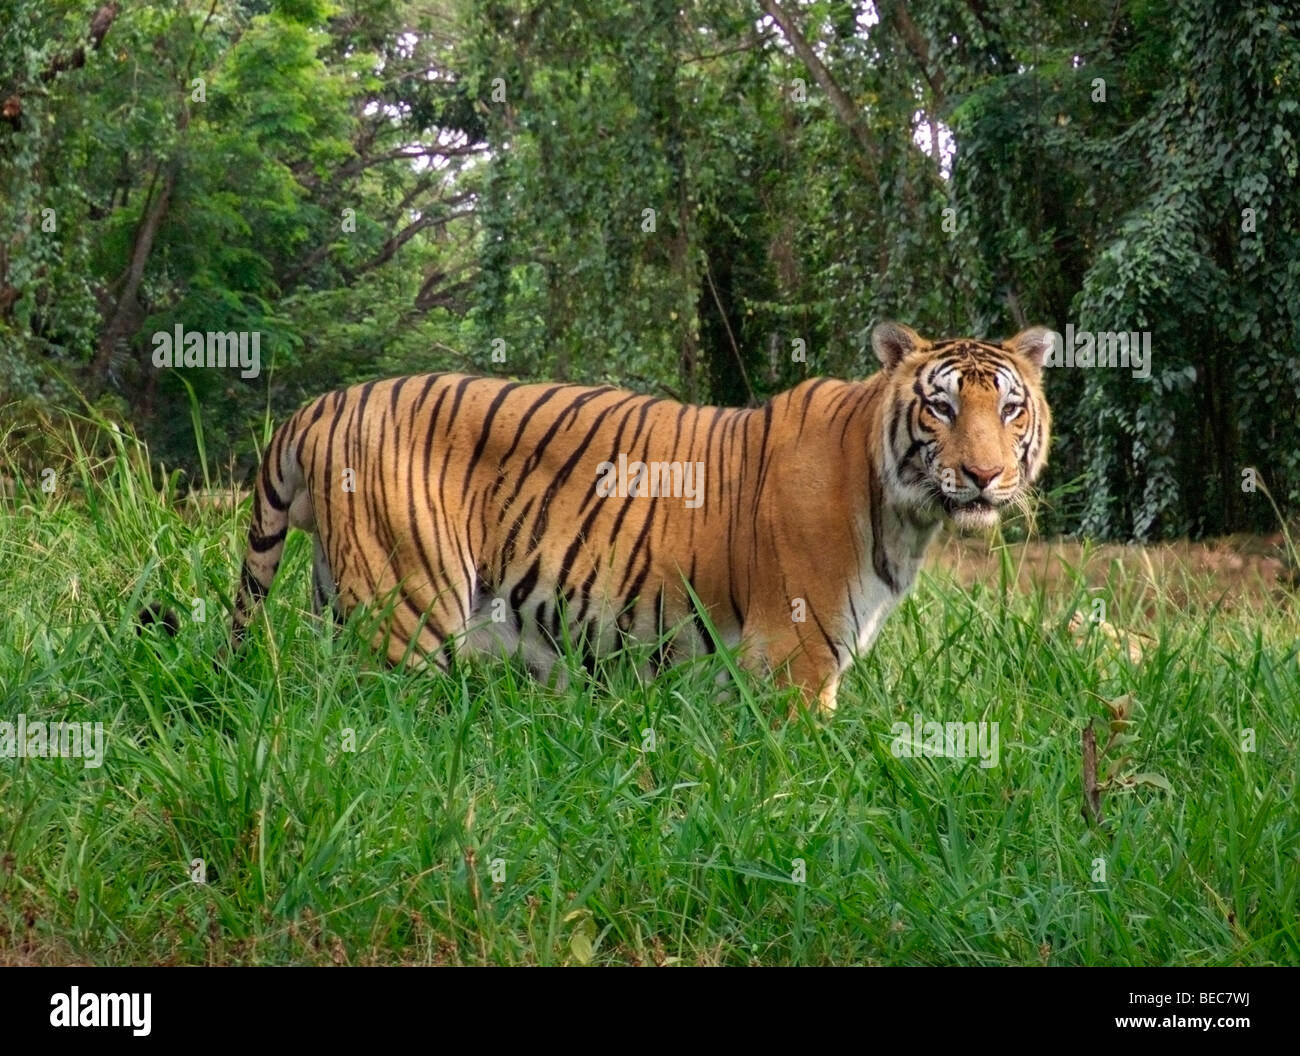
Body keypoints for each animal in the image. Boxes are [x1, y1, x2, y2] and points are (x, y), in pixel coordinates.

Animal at [230, 322, 1052, 713]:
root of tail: (319, 405)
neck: (905, 517)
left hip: (339, 600)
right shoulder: (797, 657)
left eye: (1010, 409)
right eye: (941, 407)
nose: (984, 475)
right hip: (410, 612)